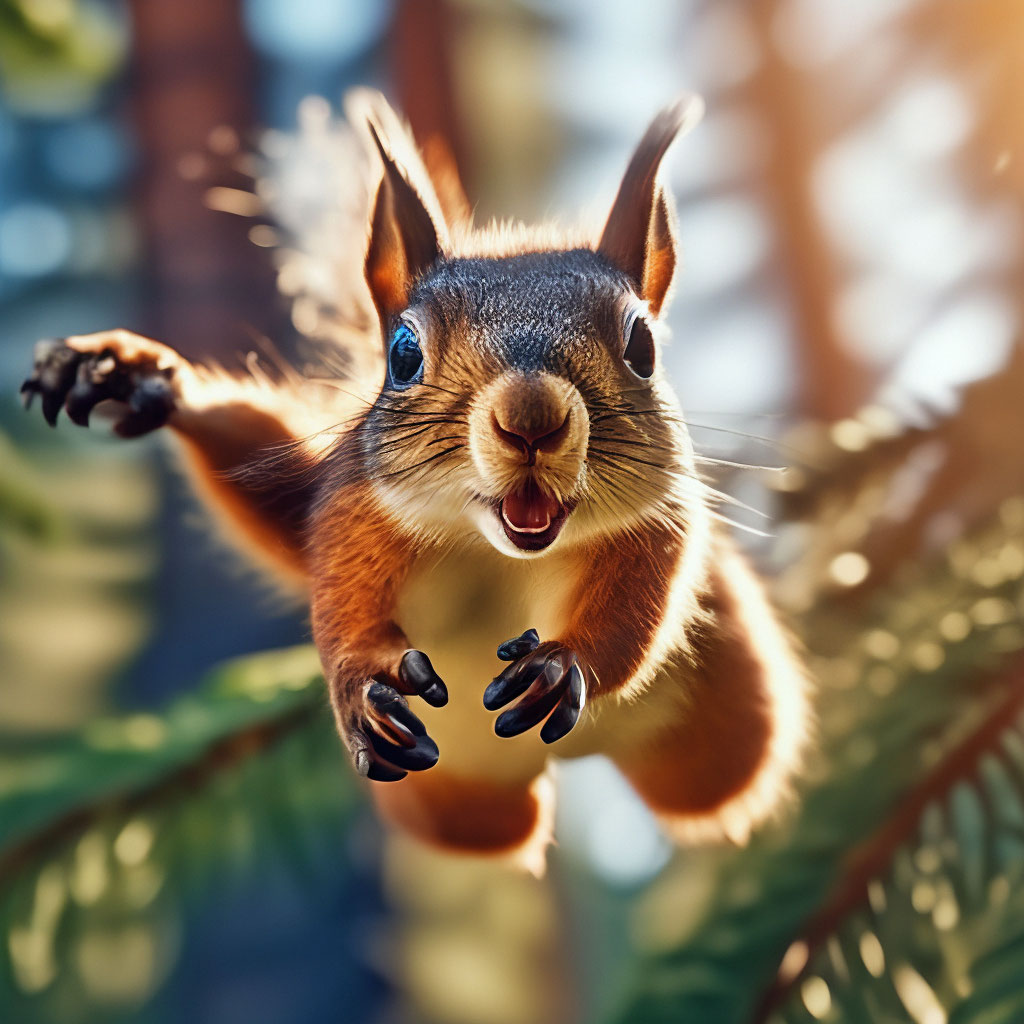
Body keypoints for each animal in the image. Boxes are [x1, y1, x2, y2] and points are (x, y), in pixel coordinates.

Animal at [21, 92, 810, 872]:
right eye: (402, 354)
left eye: (641, 346)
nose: (531, 417)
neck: (495, 545)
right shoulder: (347, 510)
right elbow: (337, 604)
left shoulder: (657, 528)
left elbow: (634, 619)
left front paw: (563, 666)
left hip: (723, 725)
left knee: (706, 786)